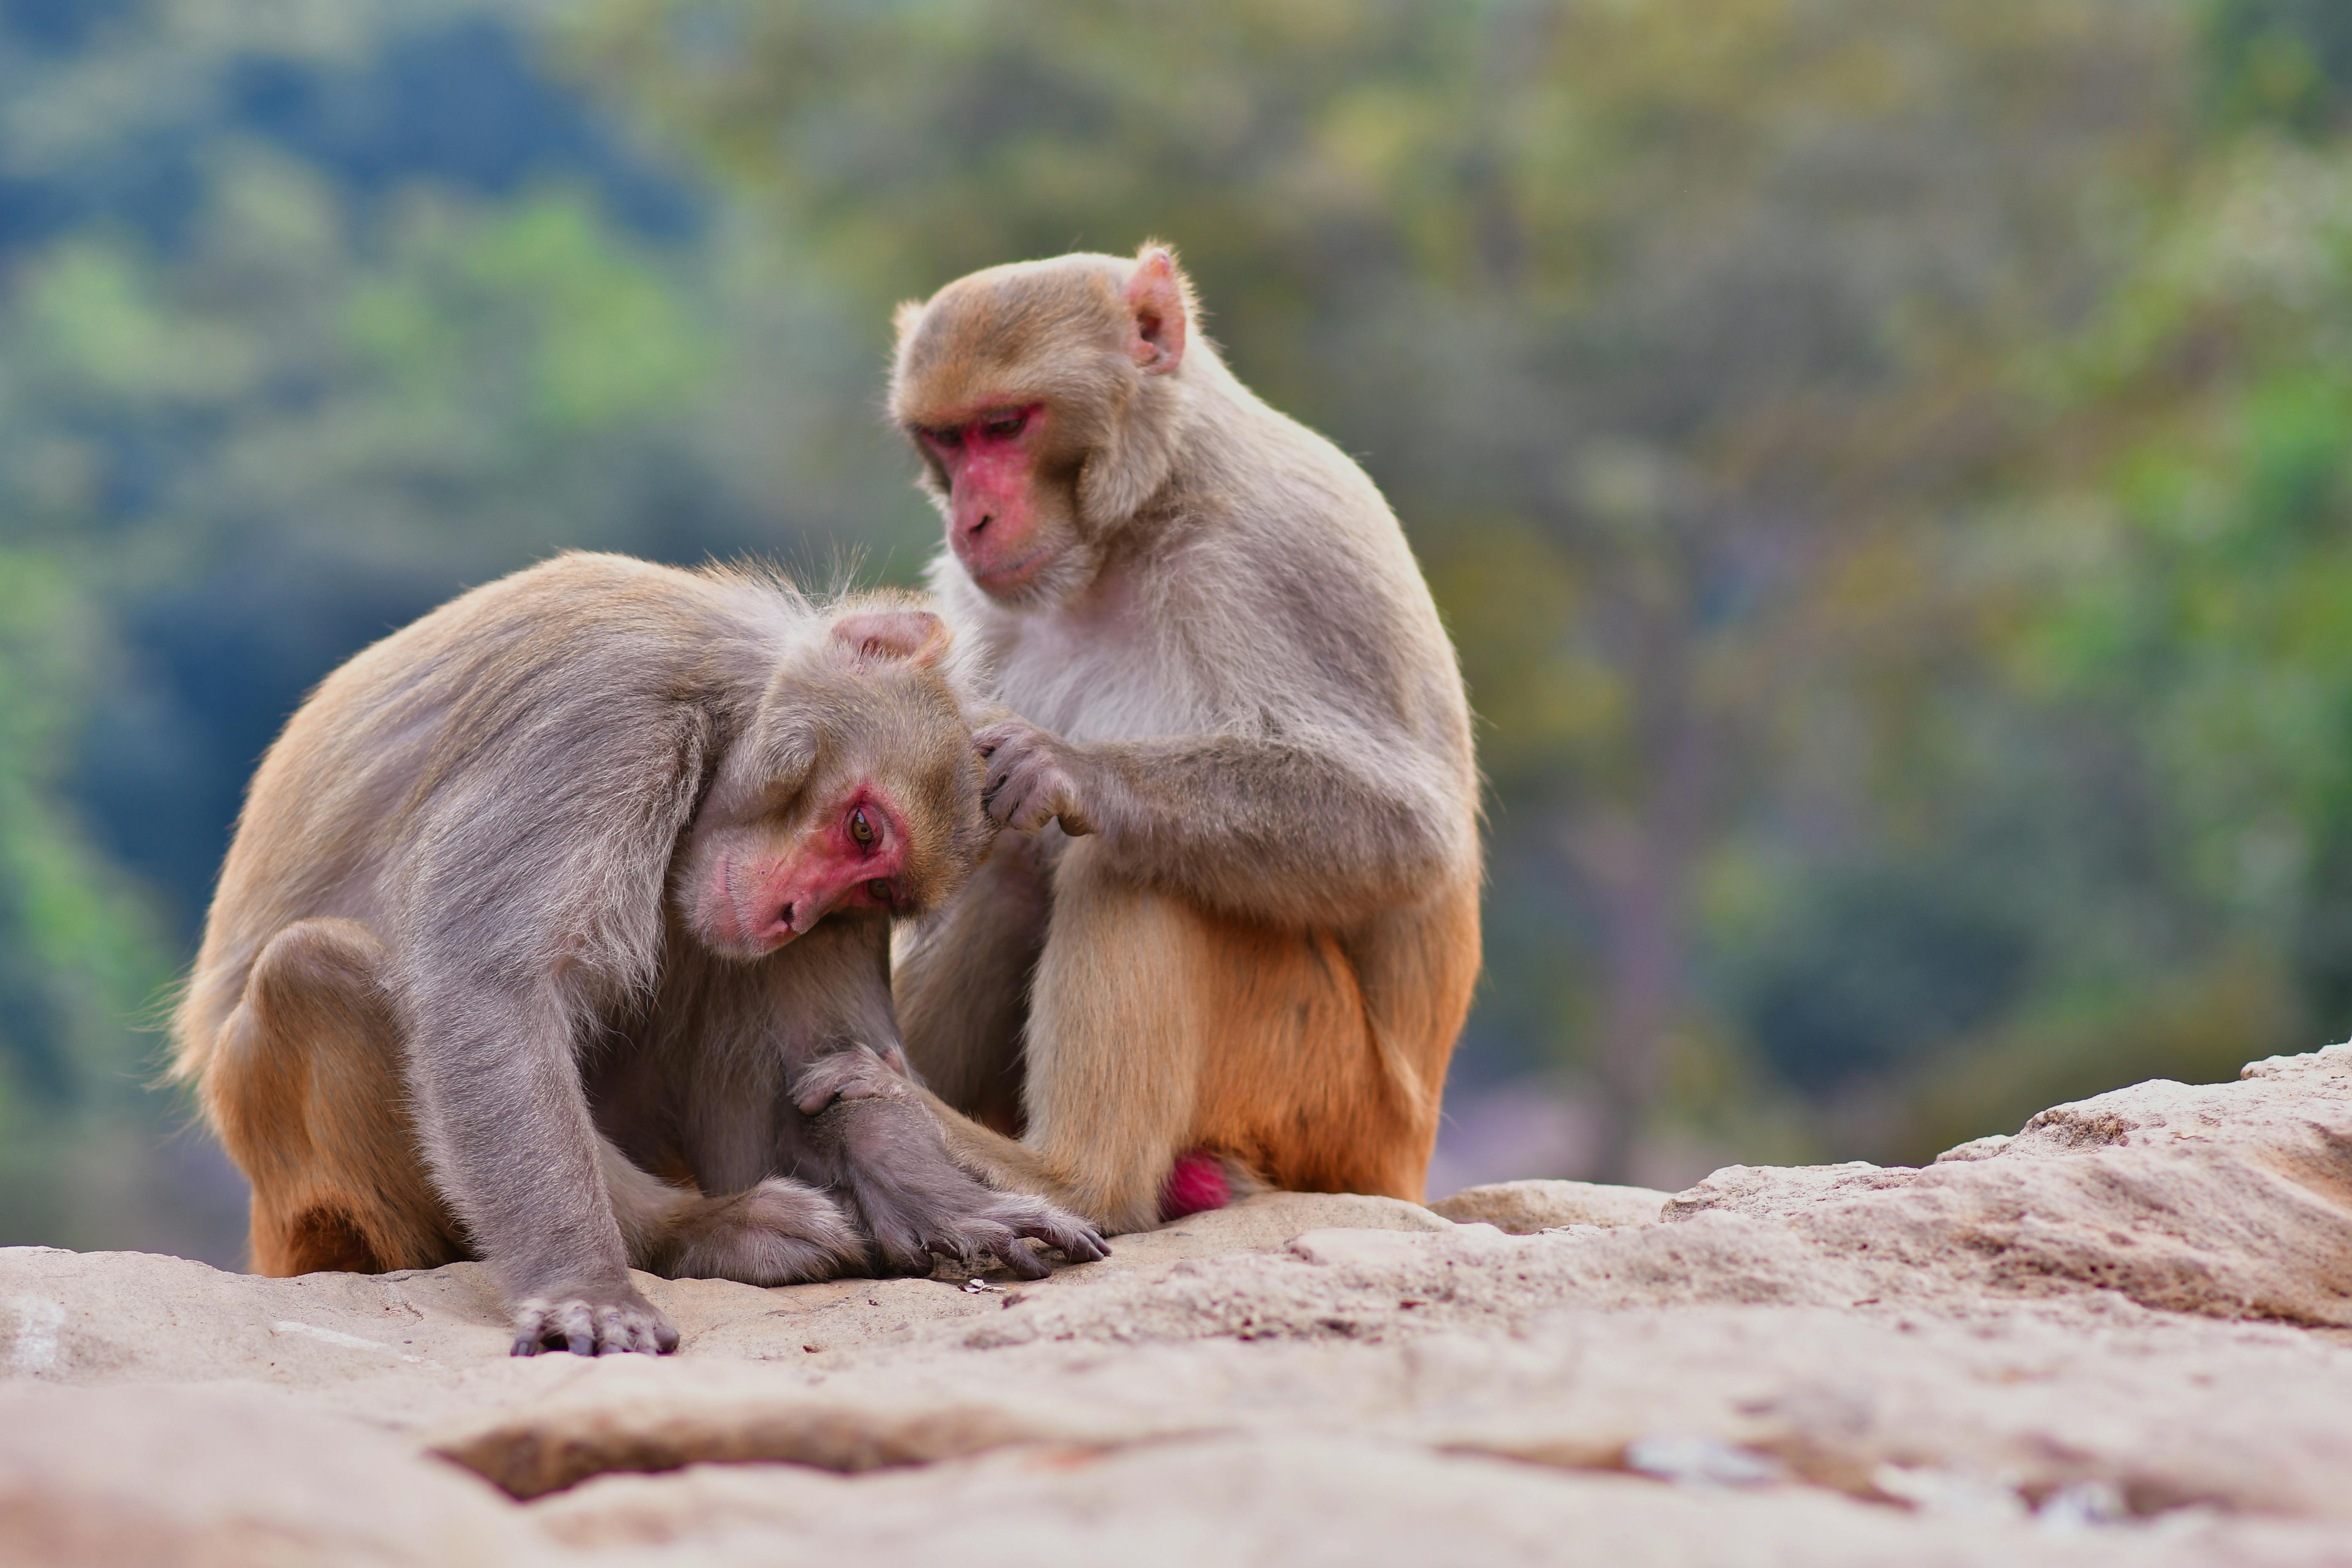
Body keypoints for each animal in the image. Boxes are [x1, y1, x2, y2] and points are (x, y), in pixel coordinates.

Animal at [169, 552, 1107, 1357]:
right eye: (863, 827)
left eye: (873, 893)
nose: (796, 913)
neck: (719, 703)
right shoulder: (604, 721)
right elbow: (487, 986)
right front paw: (586, 1283)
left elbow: (825, 1058)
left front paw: (935, 1197)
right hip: (319, 1210)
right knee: (314, 971)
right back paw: (696, 1231)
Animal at [886, 242, 1484, 1235]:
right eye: (948, 440)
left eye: (1006, 427)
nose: (967, 522)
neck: (1134, 523)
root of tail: (1407, 1161)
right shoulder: (979, 605)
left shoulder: (1287, 554)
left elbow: (1408, 833)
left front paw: (1070, 769)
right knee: (1014, 864)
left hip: (1324, 1098)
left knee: (1132, 862)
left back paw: (1068, 1181)